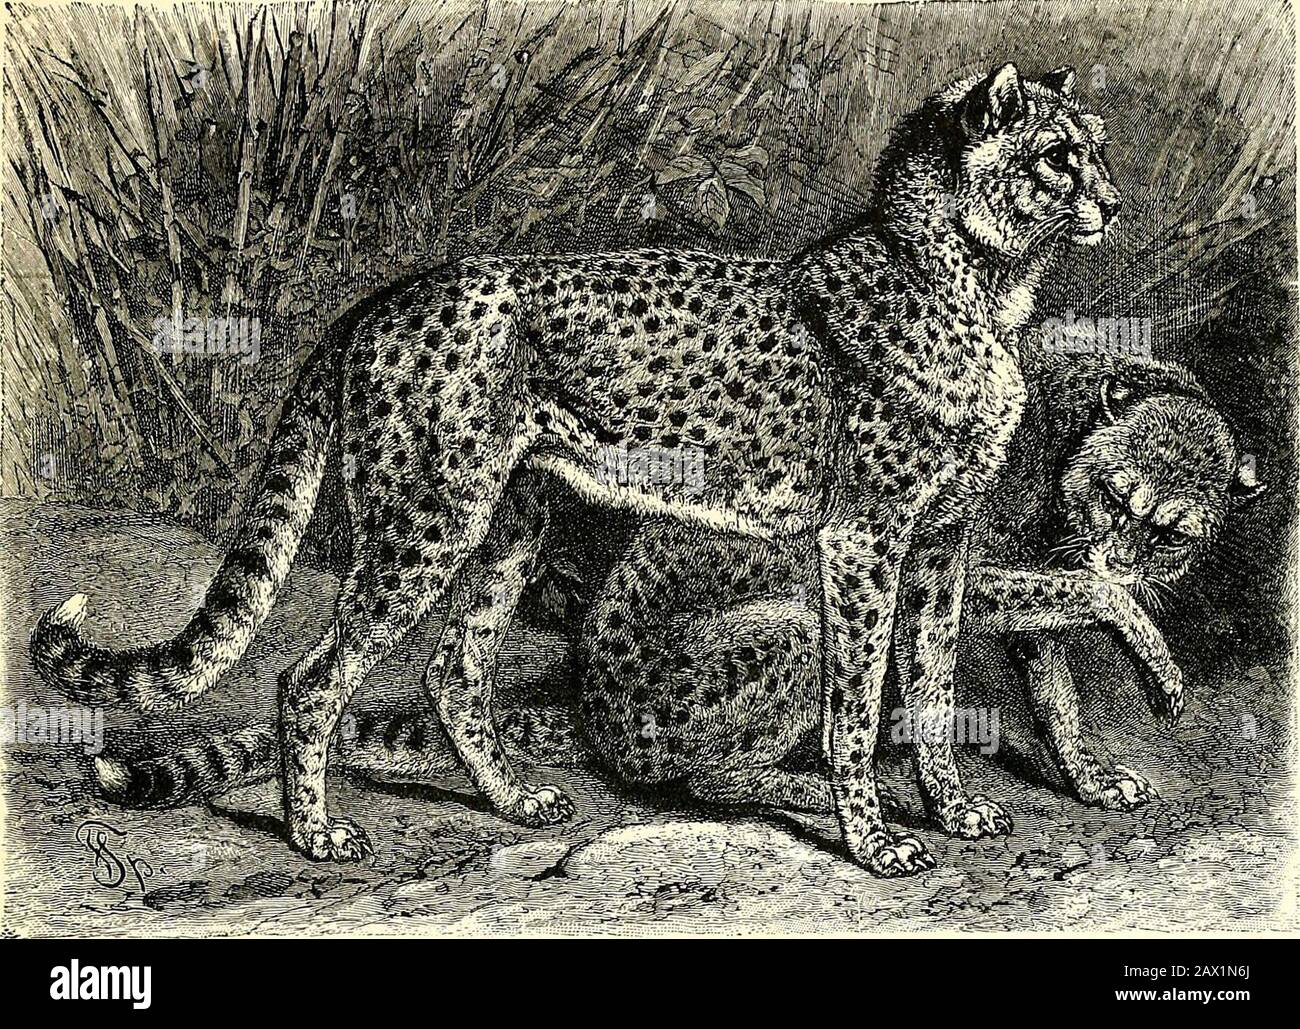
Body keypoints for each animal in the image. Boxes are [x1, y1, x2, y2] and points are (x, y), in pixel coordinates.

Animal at [30, 62, 1127, 876]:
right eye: (1057, 156)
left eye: (1098, 148)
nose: (1114, 204)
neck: (969, 279)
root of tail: (386, 297)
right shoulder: (864, 539)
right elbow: (859, 708)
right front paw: (874, 840)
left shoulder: (939, 540)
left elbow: (934, 688)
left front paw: (953, 810)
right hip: (428, 527)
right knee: (310, 679)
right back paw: (316, 834)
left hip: (508, 525)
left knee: (453, 670)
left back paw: (514, 800)